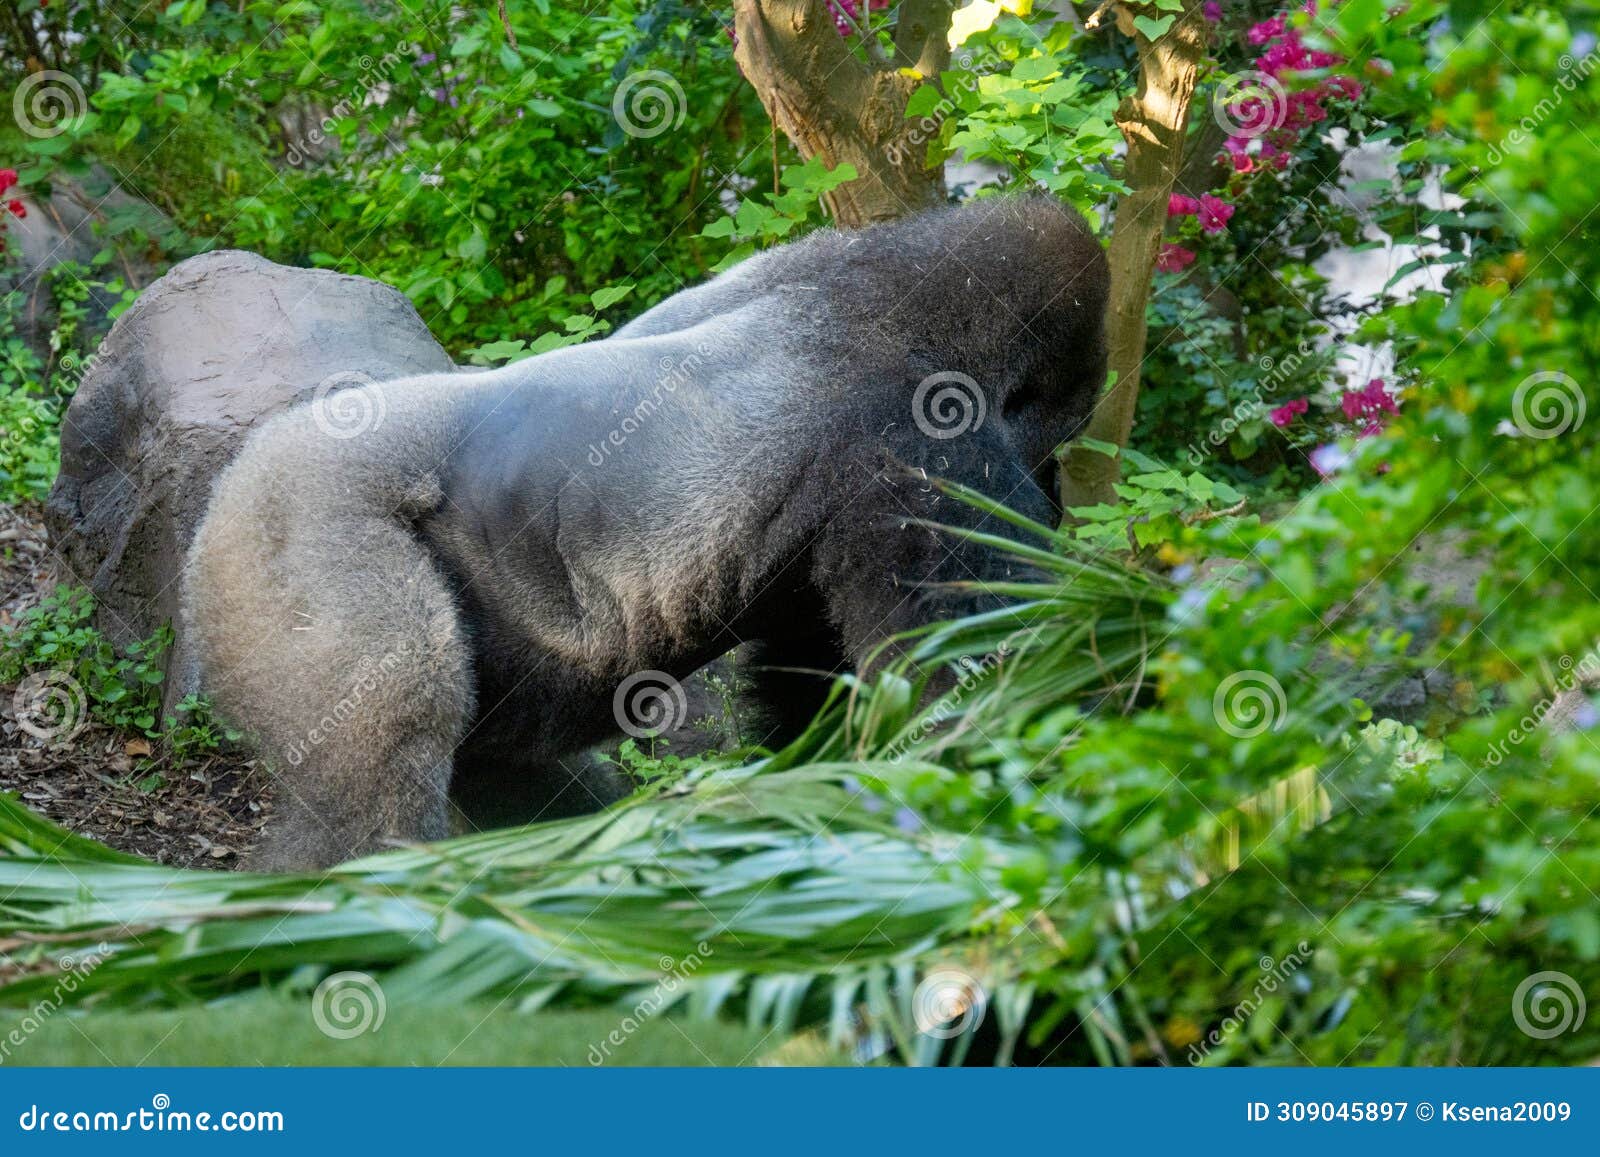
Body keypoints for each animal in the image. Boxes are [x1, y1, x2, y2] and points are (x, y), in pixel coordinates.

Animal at [181, 193, 1109, 870]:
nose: (1057, 496)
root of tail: (221, 499)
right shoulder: (912, 429)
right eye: (1052, 432)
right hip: (295, 529)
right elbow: (974, 679)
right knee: (378, 778)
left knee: (499, 761)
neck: (902, 283)